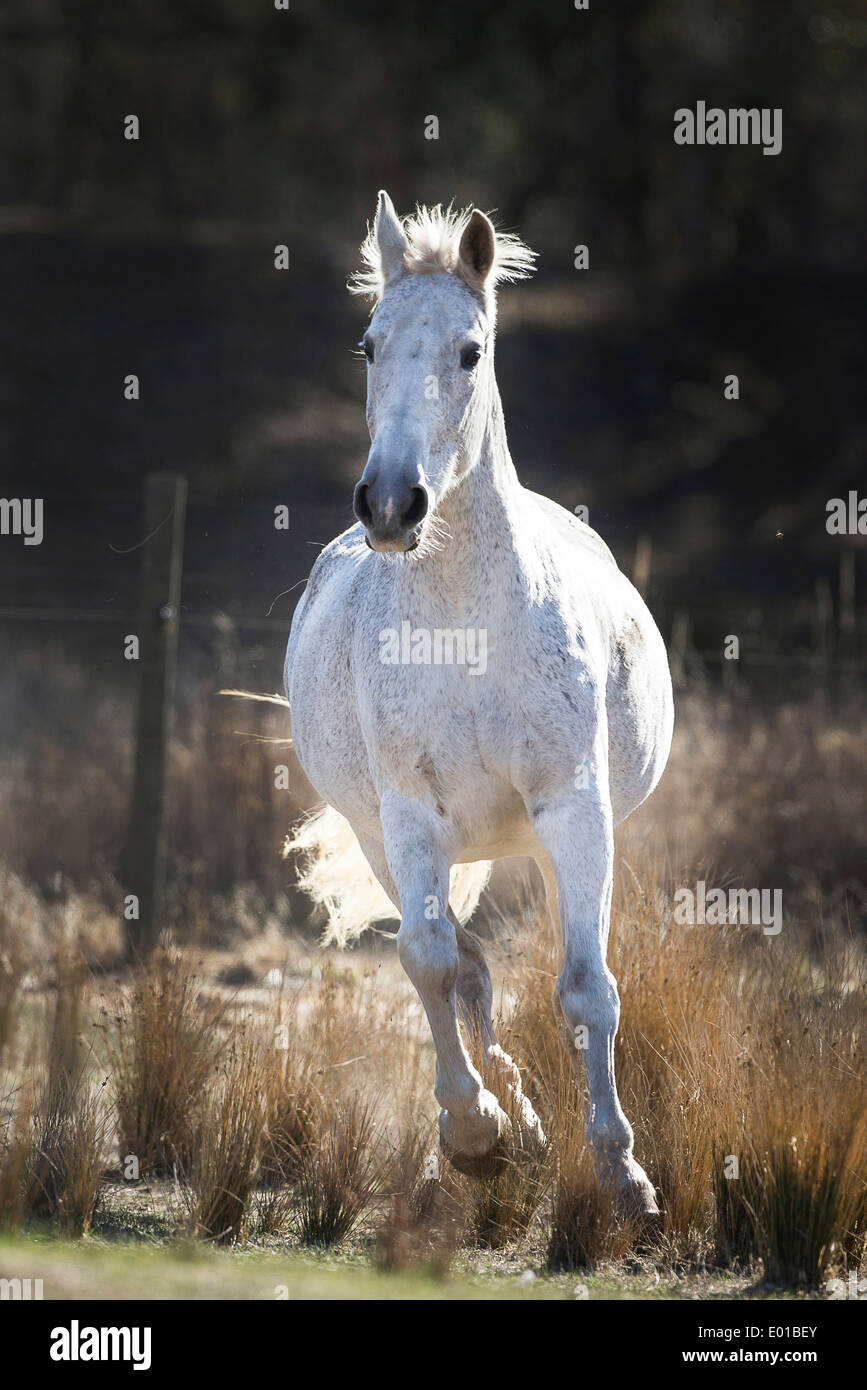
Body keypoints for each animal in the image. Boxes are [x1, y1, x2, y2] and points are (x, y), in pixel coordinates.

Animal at [284, 192, 674, 1215]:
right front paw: (474, 1135)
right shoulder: (409, 817)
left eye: (469, 351)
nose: (390, 505)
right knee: (461, 964)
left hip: (542, 839)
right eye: (368, 345)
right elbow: (430, 961)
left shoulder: (574, 809)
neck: (462, 629)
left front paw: (621, 1170)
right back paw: (514, 1119)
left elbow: (584, 989)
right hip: (390, 842)